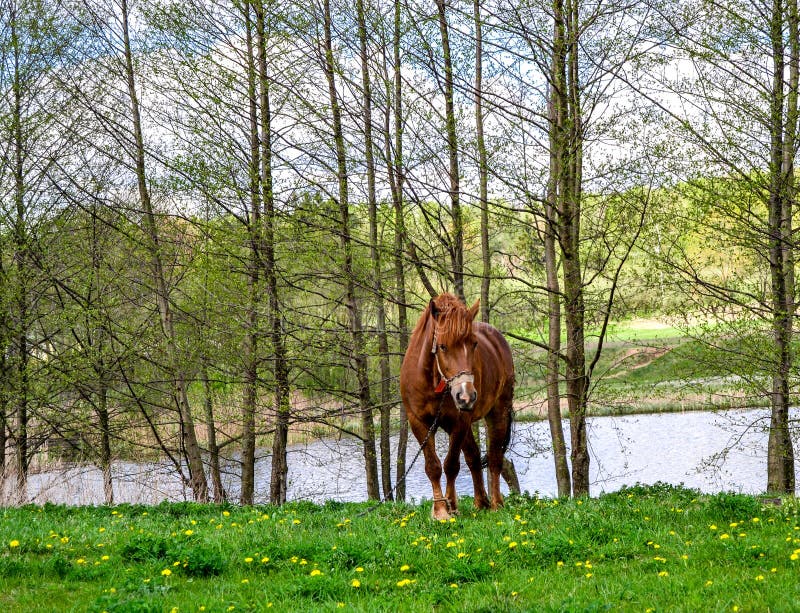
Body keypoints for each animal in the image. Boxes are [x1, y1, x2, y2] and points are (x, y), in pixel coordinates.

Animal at [399, 292, 515, 520]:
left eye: (474, 344)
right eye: (443, 346)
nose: (466, 396)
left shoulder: (459, 421)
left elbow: (451, 465)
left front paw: (446, 507)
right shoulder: (419, 422)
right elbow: (433, 466)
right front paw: (441, 509)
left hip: (498, 413)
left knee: (495, 459)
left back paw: (496, 503)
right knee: (473, 458)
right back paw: (479, 502)